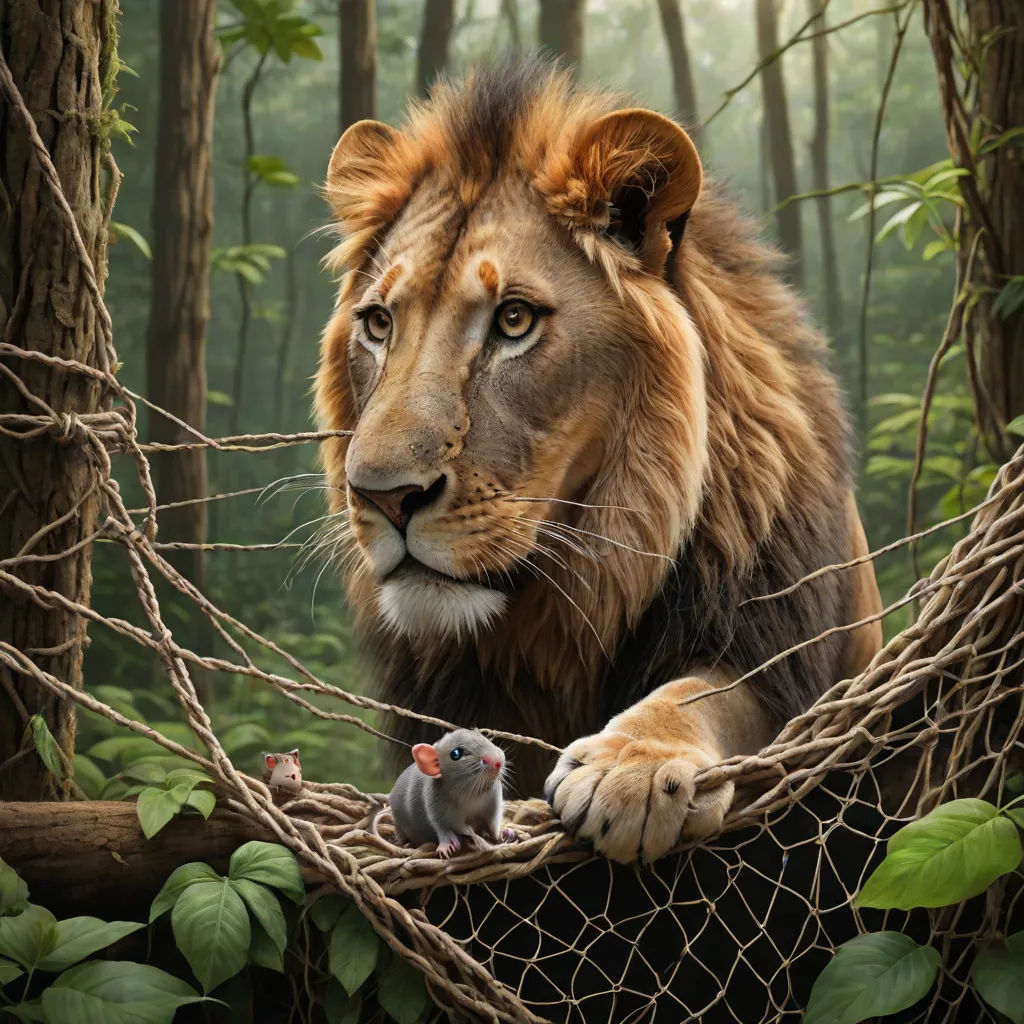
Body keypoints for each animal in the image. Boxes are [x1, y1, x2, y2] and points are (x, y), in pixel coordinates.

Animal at [315, 57, 883, 863]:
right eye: (378, 323)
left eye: (514, 320)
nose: (382, 496)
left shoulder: (779, 652)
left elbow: (702, 693)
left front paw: (635, 770)